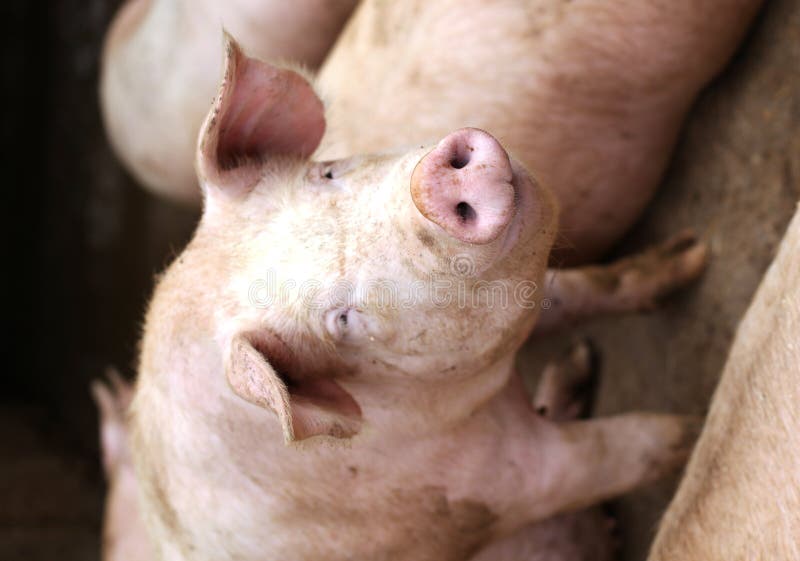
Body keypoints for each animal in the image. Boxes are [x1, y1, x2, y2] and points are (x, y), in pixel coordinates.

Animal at [128, 37, 707, 561]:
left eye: (327, 172)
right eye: (342, 321)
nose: (432, 186)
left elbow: (588, 291)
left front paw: (693, 254)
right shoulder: (486, 488)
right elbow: (622, 450)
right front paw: (698, 429)